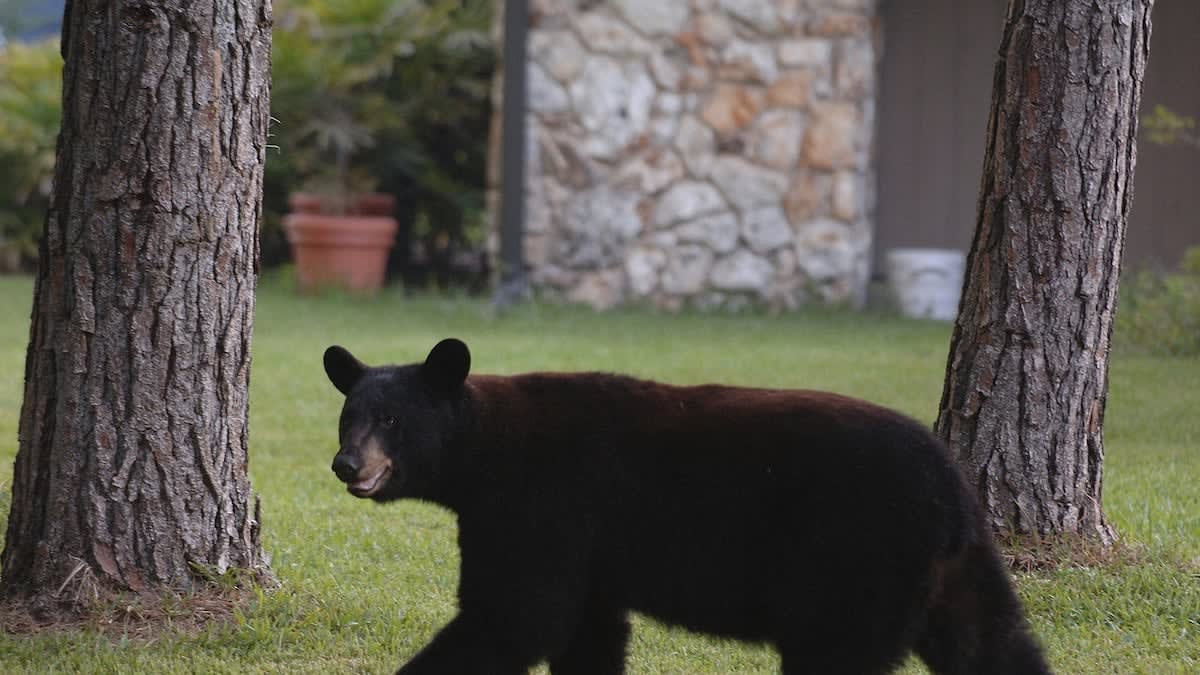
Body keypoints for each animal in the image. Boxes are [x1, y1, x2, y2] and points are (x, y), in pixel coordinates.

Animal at [322, 338, 1052, 675]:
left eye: (391, 419)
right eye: (347, 417)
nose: (347, 464)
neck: (484, 453)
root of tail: (950, 487)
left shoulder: (540, 509)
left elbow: (515, 616)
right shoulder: (588, 551)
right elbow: (587, 632)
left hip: (855, 561)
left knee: (839, 653)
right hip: (957, 570)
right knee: (995, 643)